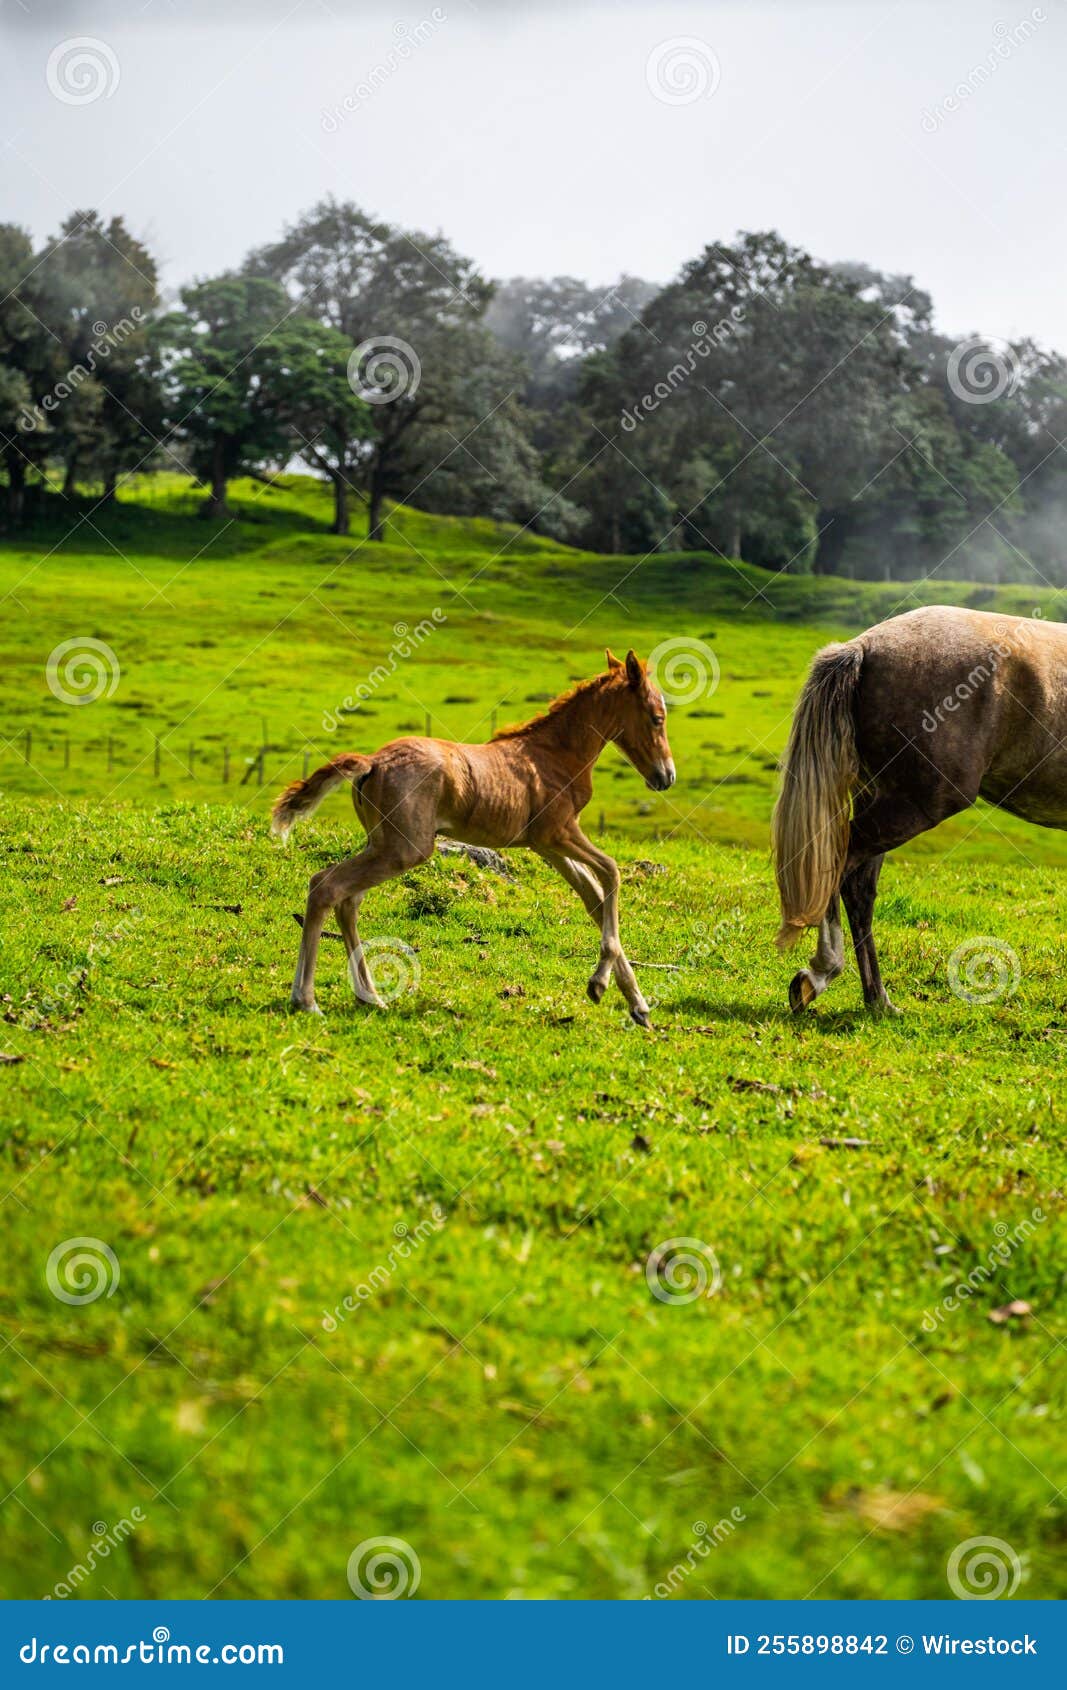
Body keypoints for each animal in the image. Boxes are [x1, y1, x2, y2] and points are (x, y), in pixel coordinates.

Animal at [272, 649, 675, 1023]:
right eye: (657, 717)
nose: (666, 776)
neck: (556, 754)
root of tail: (372, 762)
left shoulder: (546, 845)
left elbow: (593, 896)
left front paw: (638, 1005)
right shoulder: (559, 832)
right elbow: (611, 872)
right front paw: (599, 985)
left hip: (381, 843)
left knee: (346, 900)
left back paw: (370, 996)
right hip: (405, 848)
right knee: (326, 887)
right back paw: (306, 1000)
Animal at [772, 604, 1067, 1014]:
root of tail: (862, 646)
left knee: (859, 887)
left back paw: (878, 1000)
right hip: (917, 805)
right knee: (840, 866)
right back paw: (823, 971)